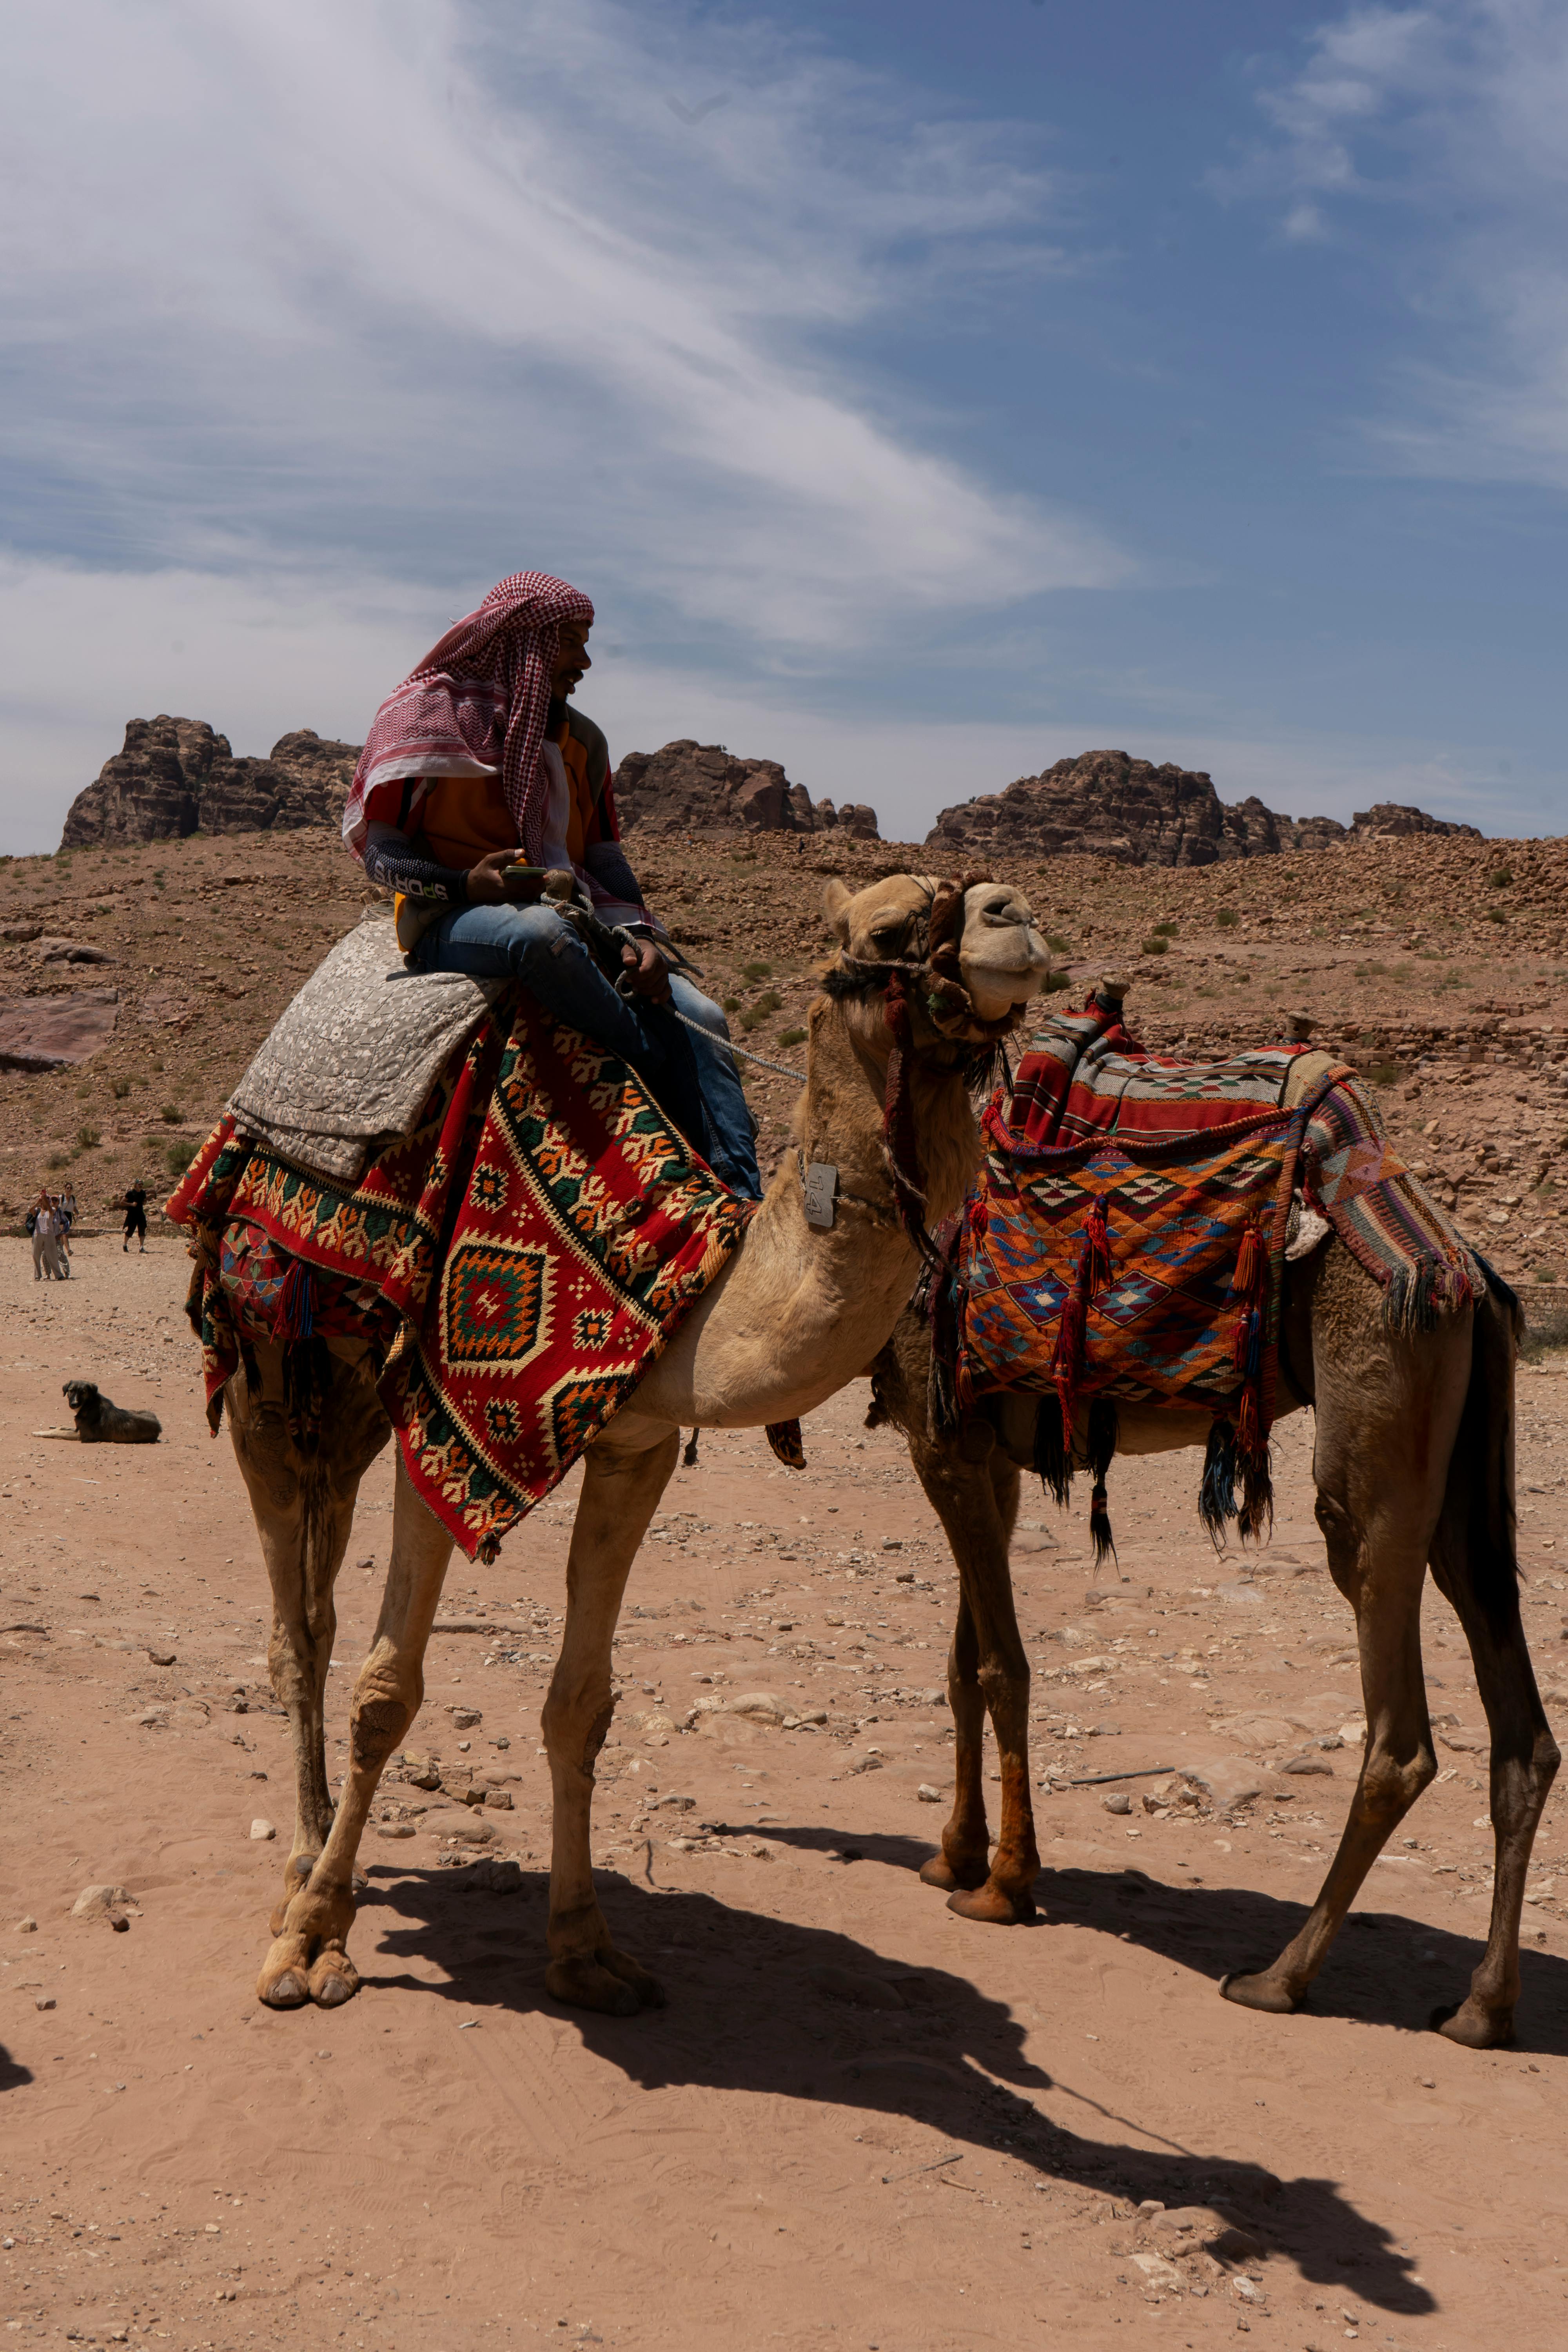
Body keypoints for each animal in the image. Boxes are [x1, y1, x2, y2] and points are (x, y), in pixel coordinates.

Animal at [220, 873, 1052, 2014]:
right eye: (890, 927)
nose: (1015, 916)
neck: (682, 1278)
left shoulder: (638, 1440)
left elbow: (581, 1705)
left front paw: (585, 1951)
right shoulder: (440, 1415)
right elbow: (387, 1695)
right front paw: (311, 1940)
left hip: (343, 1408)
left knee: (317, 1595)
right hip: (268, 1378)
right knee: (298, 1634)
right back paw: (302, 1875)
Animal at [867, 1055, 1557, 2050]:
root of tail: (1460, 1272)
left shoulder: (941, 1435)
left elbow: (999, 1667)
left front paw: (1002, 1884)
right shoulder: (982, 1450)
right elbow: (964, 1665)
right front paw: (954, 1857)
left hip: (1377, 1422)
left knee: (1397, 1728)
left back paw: (1279, 1976)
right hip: (1467, 1466)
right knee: (1519, 1721)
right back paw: (1480, 2008)